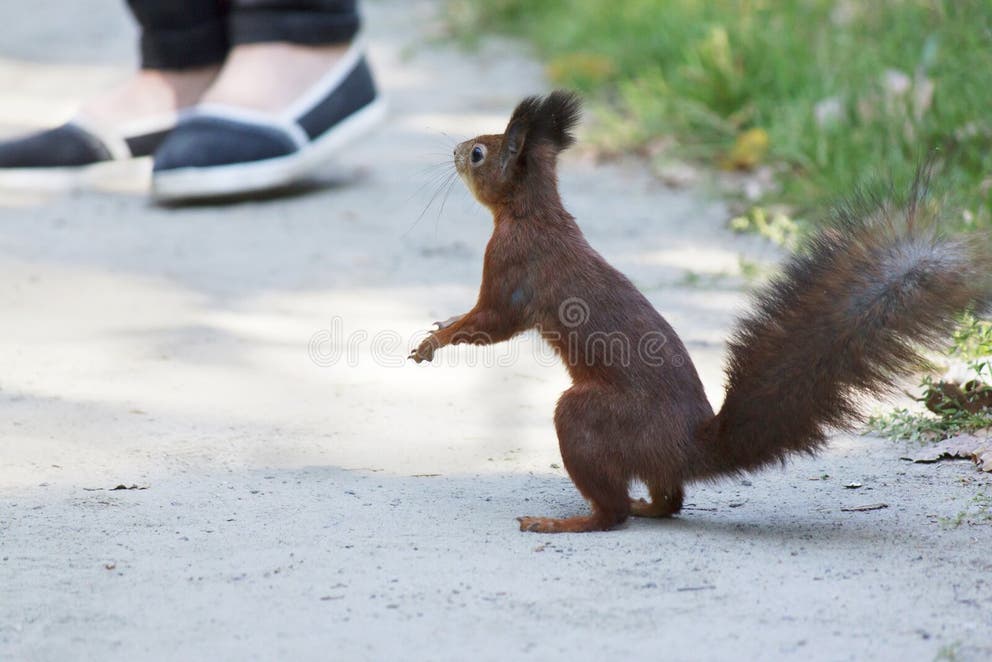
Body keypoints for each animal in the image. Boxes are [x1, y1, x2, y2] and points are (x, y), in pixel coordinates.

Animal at [409, 90, 991, 533]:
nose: (456, 150)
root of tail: (686, 447)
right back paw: (647, 505)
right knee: (671, 502)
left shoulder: (511, 268)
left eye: (479, 153)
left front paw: (435, 340)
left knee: (613, 513)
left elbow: (491, 323)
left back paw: (570, 522)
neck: (533, 213)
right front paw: (439, 328)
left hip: (590, 417)